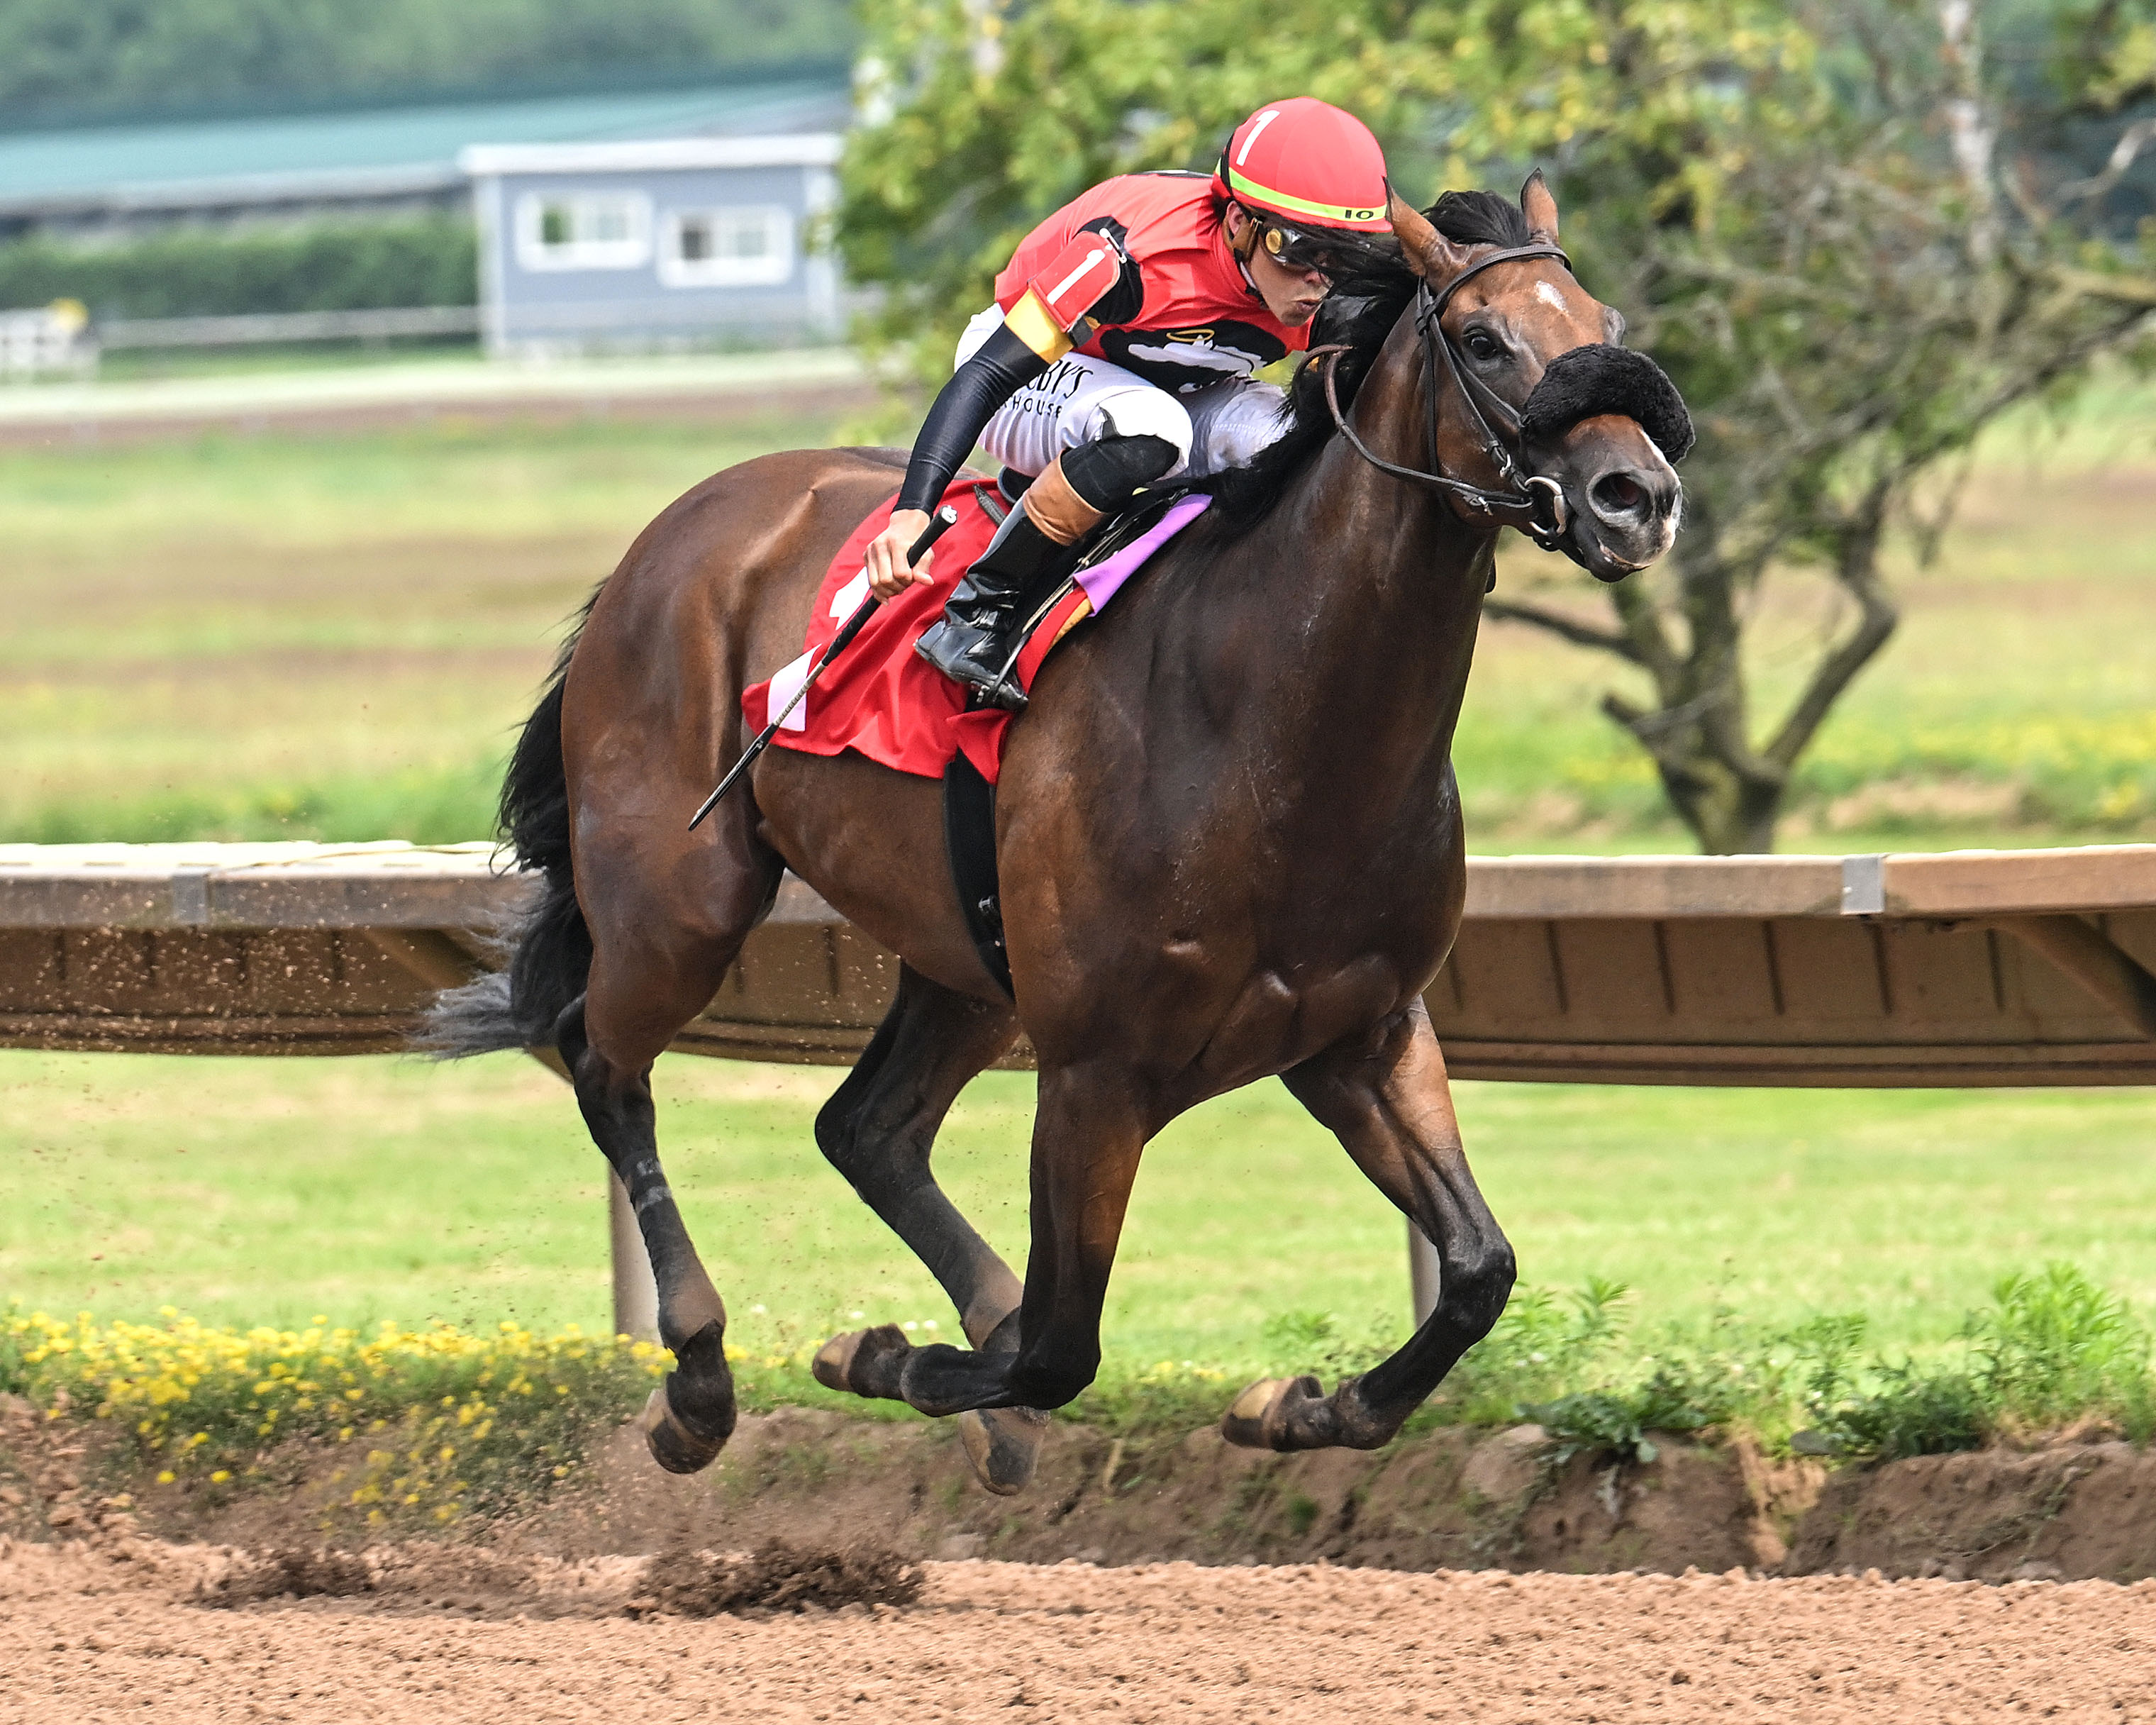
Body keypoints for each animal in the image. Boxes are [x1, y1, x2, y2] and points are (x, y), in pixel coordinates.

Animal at [429, 177, 1686, 1495]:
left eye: (1603, 320)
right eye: (1486, 340)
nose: (1638, 497)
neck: (1273, 723)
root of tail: (670, 533)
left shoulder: (1361, 1033)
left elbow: (1479, 1271)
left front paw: (1299, 1405)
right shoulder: (1097, 1072)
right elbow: (1056, 1349)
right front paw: (882, 1355)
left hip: (959, 958)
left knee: (864, 1128)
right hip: (681, 900)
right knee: (603, 1062)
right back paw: (699, 1383)